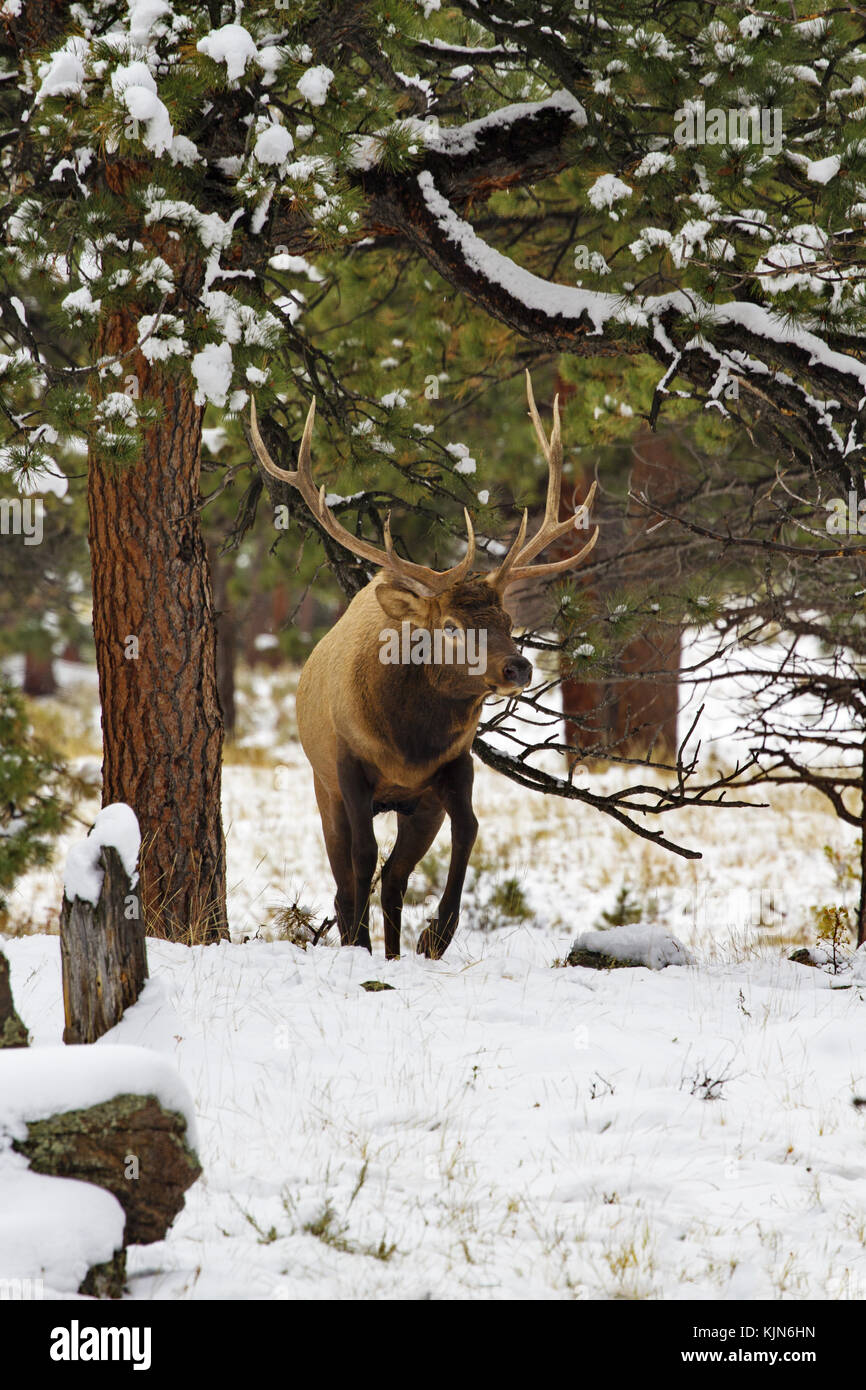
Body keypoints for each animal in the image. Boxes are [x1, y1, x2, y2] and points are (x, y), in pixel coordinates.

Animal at [249, 373, 598, 960]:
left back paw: (395, 948)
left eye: (507, 617)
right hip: (322, 787)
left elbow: (470, 829)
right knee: (348, 880)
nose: (518, 669)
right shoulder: (346, 766)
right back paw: (362, 941)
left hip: (418, 810)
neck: (406, 745)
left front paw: (437, 933)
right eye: (452, 626)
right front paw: (360, 946)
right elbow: (360, 862)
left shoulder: (456, 765)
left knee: (394, 879)